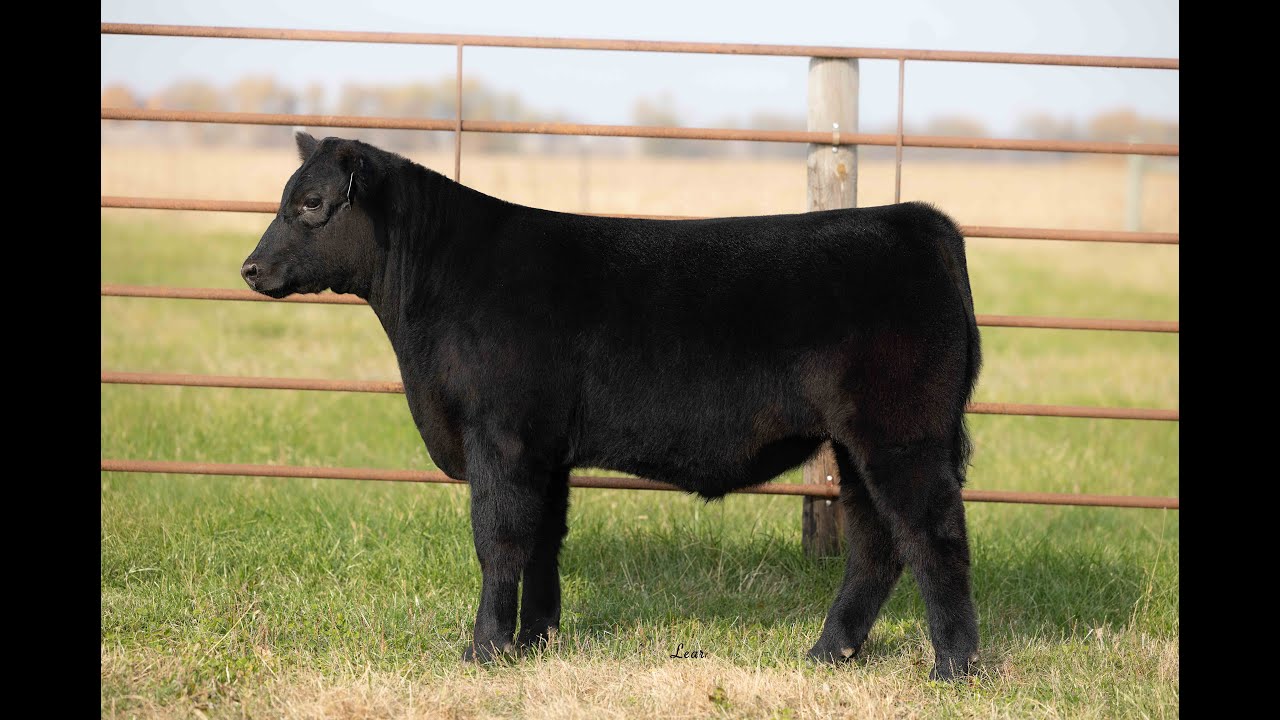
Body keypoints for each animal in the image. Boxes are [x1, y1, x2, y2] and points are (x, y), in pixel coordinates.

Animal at [241, 132, 983, 680]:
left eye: (311, 204)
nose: (250, 269)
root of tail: (913, 218)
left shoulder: (500, 437)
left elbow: (498, 539)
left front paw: (484, 650)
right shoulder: (544, 449)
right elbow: (543, 540)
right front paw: (535, 642)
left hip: (901, 435)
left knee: (933, 534)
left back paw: (955, 668)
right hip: (858, 444)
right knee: (877, 543)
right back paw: (830, 653)